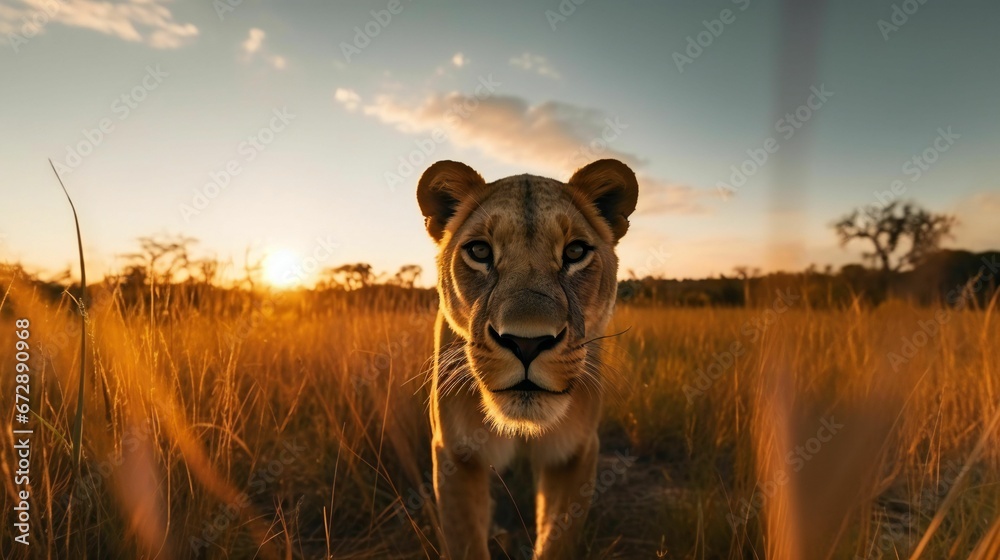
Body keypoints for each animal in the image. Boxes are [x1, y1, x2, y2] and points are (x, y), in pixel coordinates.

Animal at [416, 159, 638, 559]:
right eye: (480, 251)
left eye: (575, 252)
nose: (526, 343)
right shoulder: (455, 453)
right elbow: (465, 541)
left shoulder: (574, 453)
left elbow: (557, 541)